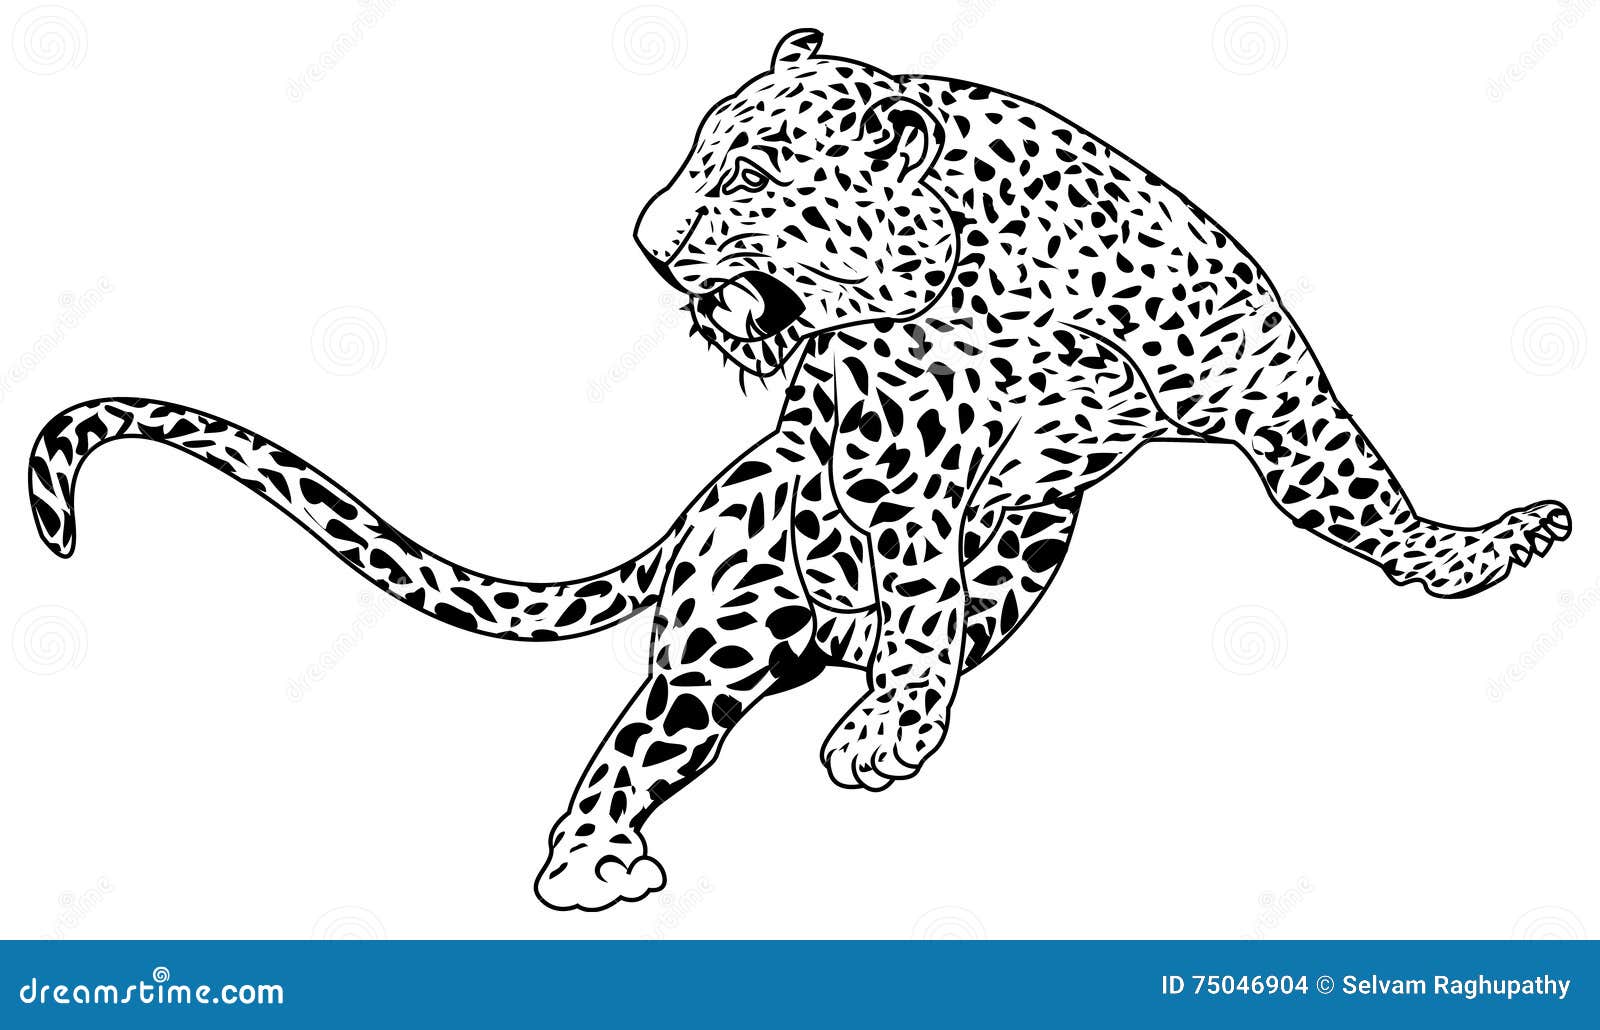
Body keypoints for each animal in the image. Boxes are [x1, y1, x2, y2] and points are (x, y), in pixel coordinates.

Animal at [26, 29, 1571, 911]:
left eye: (751, 174)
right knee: (639, 740)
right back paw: (592, 864)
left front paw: (1481, 550)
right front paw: (889, 728)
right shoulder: (895, 463)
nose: (649, 241)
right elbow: (916, 576)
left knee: (939, 619)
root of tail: (696, 509)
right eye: (694, 163)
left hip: (1021, 558)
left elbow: (1361, 502)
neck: (1007, 281)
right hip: (714, 643)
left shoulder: (1272, 403)